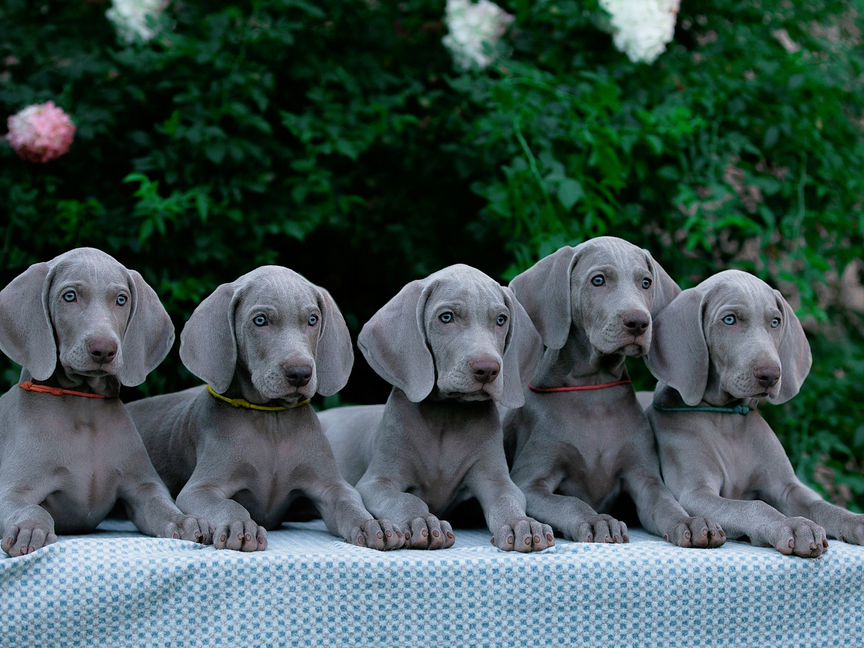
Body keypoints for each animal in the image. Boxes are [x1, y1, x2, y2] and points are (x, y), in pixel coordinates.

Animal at [0, 248, 208, 556]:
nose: (103, 349)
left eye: (121, 299)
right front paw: (29, 529)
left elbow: (162, 506)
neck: (84, 405)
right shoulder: (12, 490)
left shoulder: (143, 487)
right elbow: (33, 510)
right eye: (70, 296)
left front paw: (184, 522)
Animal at [126, 266, 404, 556]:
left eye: (313, 319)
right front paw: (238, 525)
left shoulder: (332, 487)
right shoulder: (200, 489)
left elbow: (349, 503)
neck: (272, 420)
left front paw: (373, 525)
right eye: (260, 321)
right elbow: (228, 504)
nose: (300, 373)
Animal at [320, 264, 556, 552]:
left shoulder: (497, 480)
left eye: (501, 320)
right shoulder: (375, 483)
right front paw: (422, 521)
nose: (488, 369)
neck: (447, 416)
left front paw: (522, 524)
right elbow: (406, 499)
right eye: (446, 317)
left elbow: (507, 500)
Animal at [502, 237, 724, 548]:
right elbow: (570, 502)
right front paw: (598, 521)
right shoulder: (529, 483)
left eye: (646, 282)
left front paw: (690, 522)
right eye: (598, 280)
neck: (593, 391)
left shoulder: (645, 480)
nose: (638, 322)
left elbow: (667, 505)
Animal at [644, 270, 860, 560]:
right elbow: (755, 505)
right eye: (729, 320)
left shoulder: (788, 487)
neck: (727, 417)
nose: (771, 375)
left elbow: (823, 506)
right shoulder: (695, 493)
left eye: (775, 322)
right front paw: (793, 526)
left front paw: (856, 521)